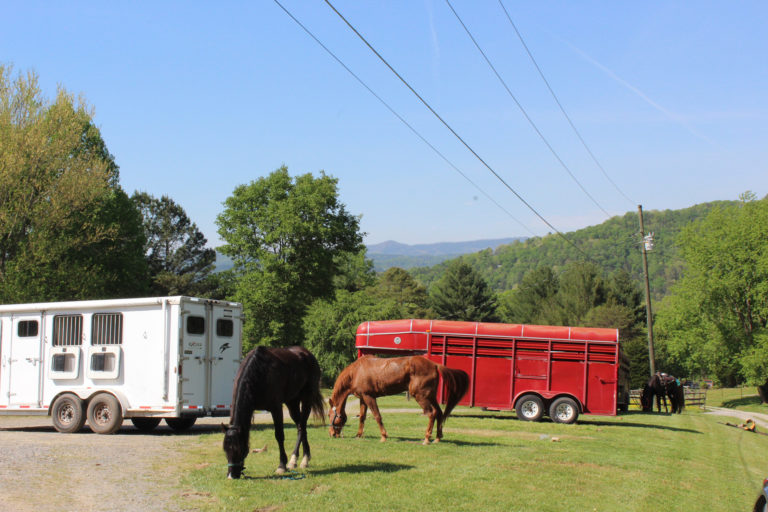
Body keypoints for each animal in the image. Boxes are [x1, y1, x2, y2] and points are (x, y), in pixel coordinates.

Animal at [222, 346, 324, 479]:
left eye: (239, 449)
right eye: (225, 449)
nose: (231, 476)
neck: (259, 373)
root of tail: (308, 354)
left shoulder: (276, 408)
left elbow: (279, 436)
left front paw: (281, 466)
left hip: (307, 400)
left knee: (302, 427)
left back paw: (304, 460)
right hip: (292, 402)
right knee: (300, 428)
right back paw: (295, 461)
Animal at [328, 355, 470, 445]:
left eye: (329, 415)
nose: (331, 434)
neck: (357, 371)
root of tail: (434, 365)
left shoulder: (369, 397)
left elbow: (377, 416)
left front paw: (383, 437)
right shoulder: (363, 398)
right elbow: (362, 417)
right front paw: (358, 435)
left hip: (421, 397)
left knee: (431, 413)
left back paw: (426, 439)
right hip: (430, 396)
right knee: (439, 413)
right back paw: (437, 438)